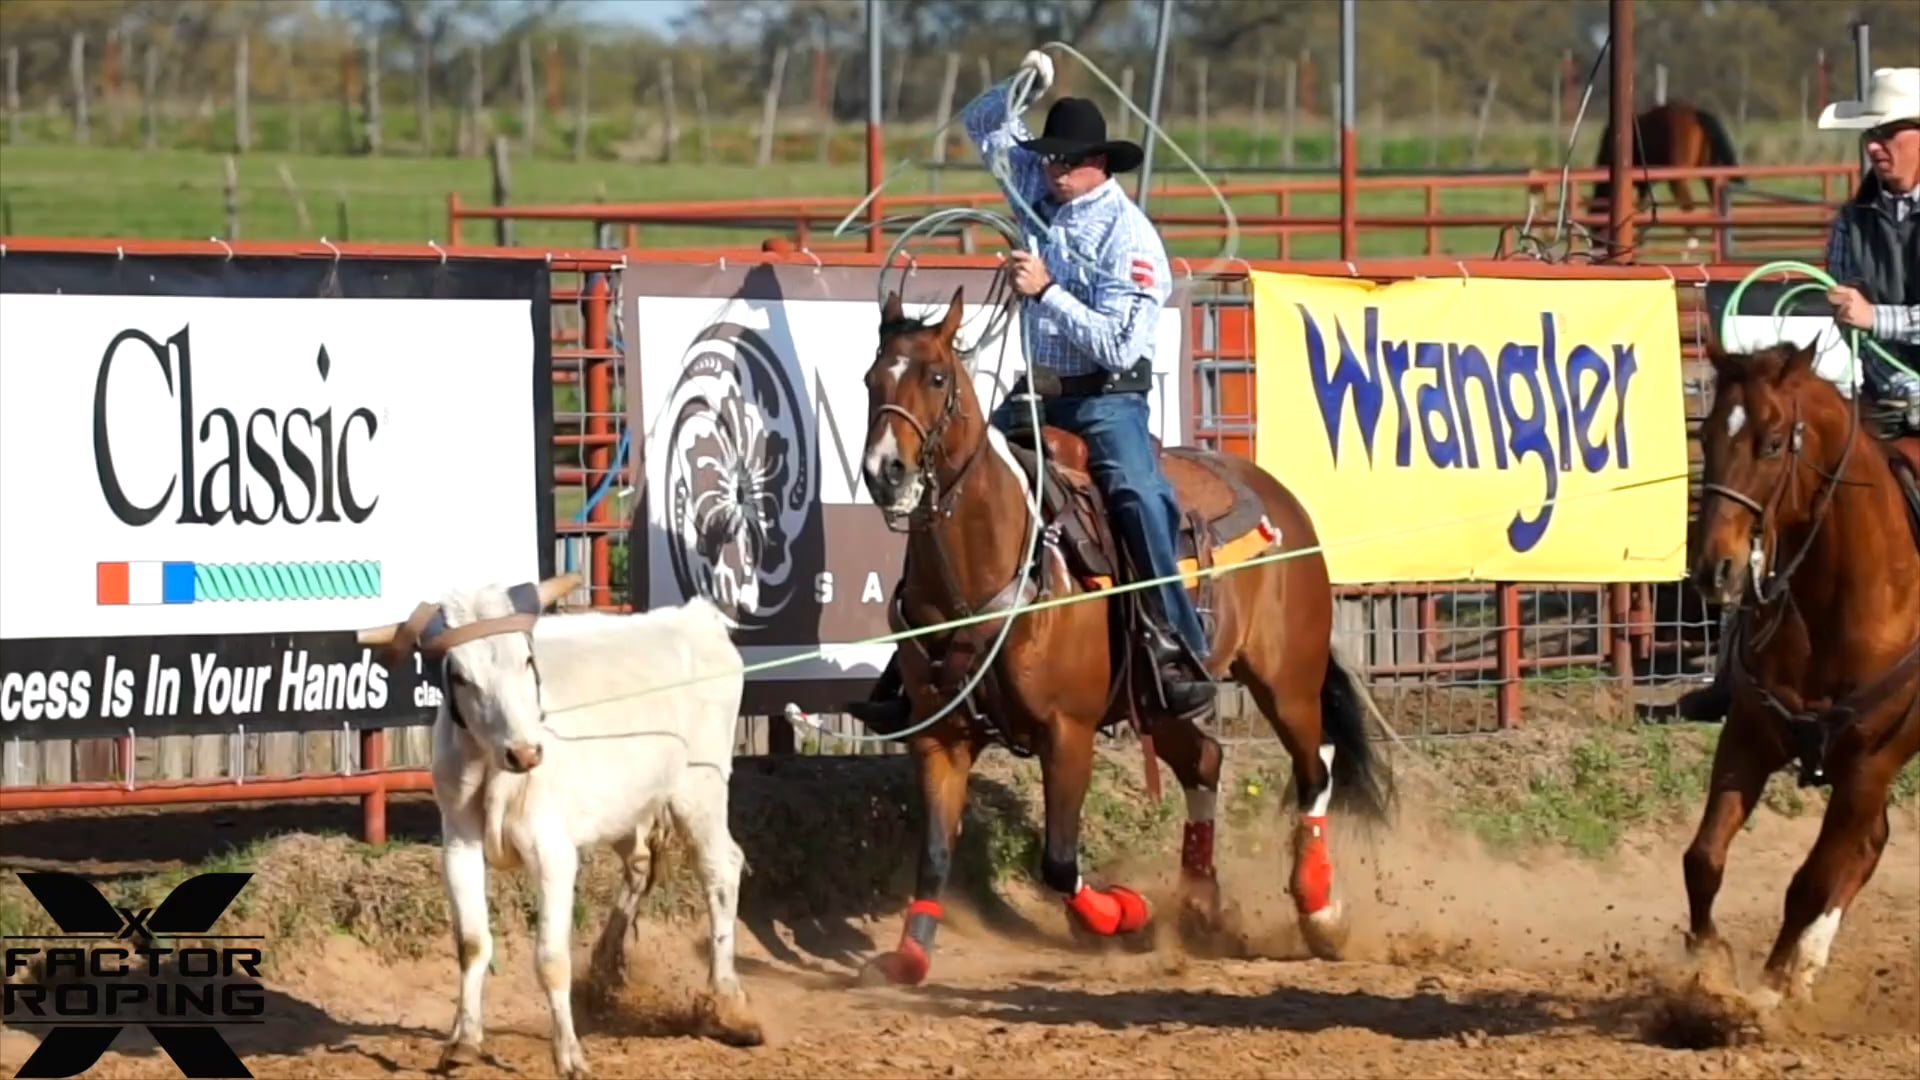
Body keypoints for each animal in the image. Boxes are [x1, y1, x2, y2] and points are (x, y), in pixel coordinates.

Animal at [850, 286, 1393, 987]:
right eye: (871, 379)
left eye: (937, 377)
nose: (885, 471)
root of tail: (1277, 496)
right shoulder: (940, 737)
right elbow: (936, 855)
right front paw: (909, 954)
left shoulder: (1068, 731)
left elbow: (1058, 861)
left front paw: (1121, 913)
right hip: (1161, 698)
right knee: (1207, 761)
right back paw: (1199, 905)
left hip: (1286, 680)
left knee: (1314, 766)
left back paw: (1321, 910)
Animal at [1585, 100, 1743, 249]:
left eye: (1594, 227)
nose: (1596, 248)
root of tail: (1695, 113)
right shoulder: (1643, 186)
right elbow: (1641, 209)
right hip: (1708, 172)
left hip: (1678, 180)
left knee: (1689, 207)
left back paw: (1690, 246)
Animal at [1683, 336, 1920, 1008]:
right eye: (1706, 433)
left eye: (1771, 442)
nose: (1714, 569)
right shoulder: (1749, 734)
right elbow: (1703, 859)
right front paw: (1710, 963)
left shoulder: (1871, 763)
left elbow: (1810, 882)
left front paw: (1765, 995)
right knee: (1869, 844)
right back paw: (1808, 966)